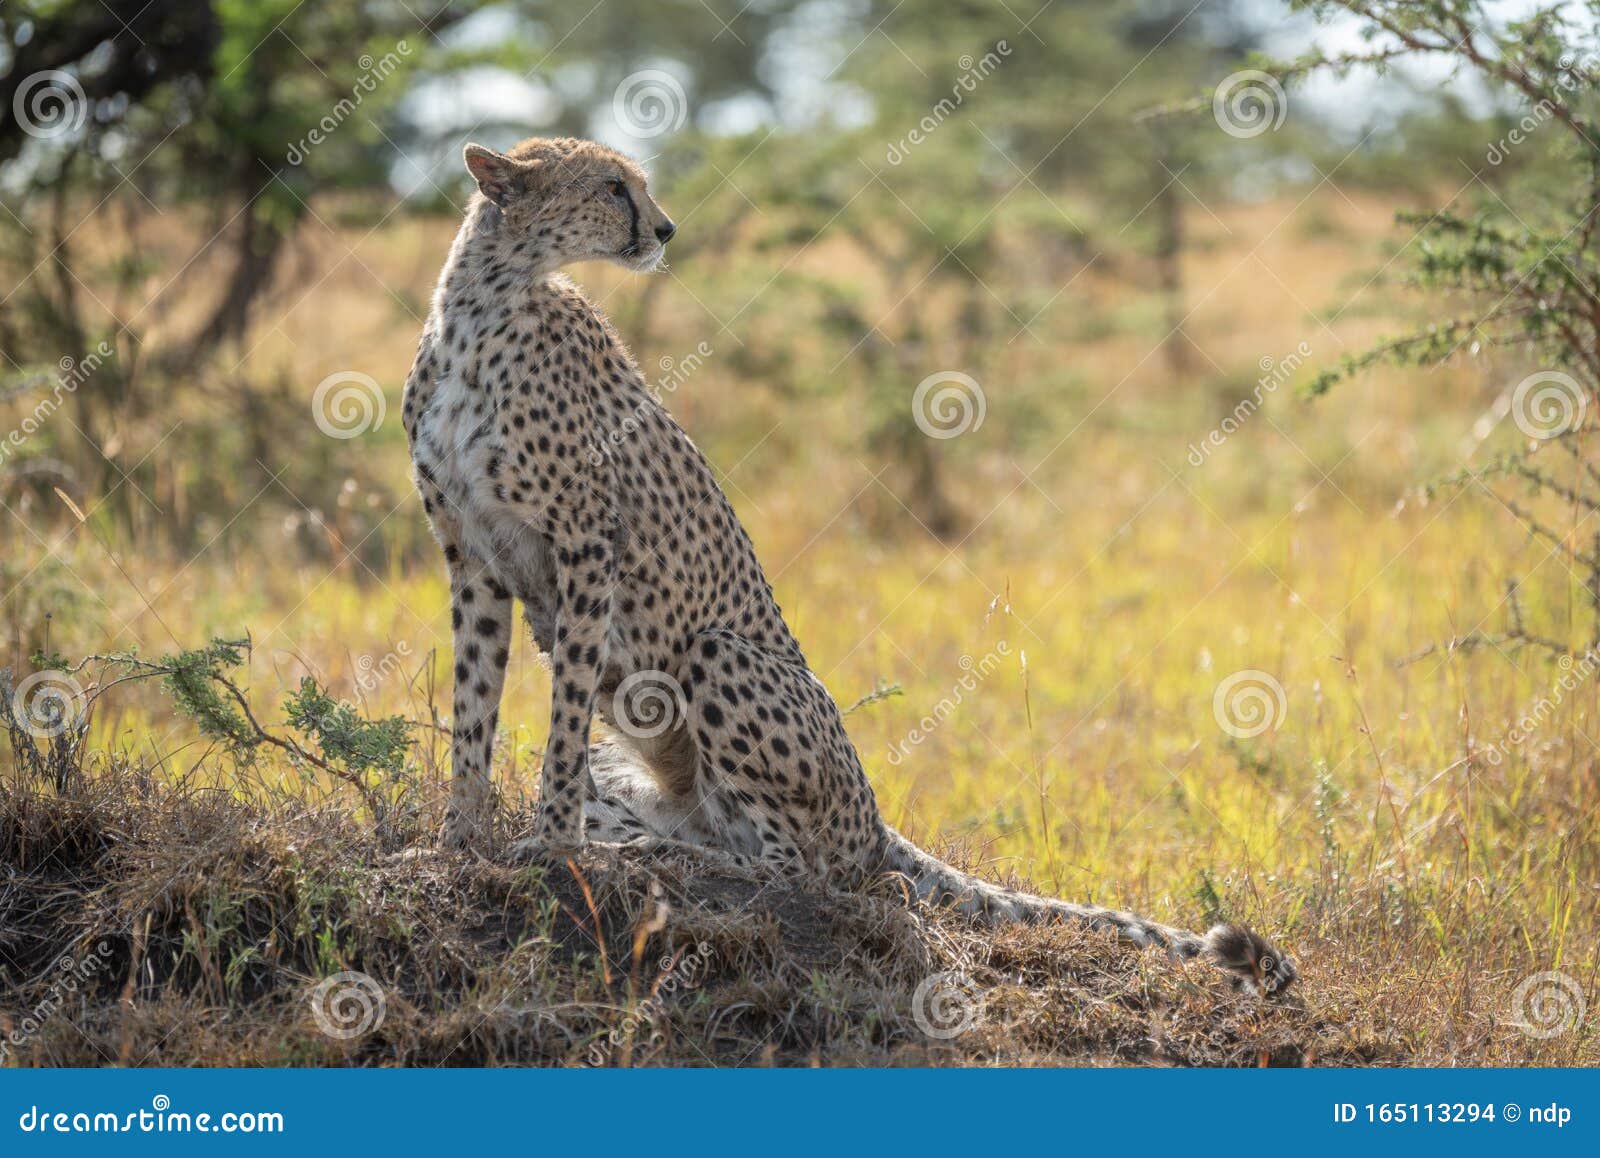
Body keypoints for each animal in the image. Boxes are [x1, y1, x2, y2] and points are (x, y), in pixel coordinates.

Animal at [400, 135, 1297, 997]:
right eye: (612, 186)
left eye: (636, 184)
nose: (665, 229)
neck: (483, 305)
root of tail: (873, 820)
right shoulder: (471, 554)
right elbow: (474, 713)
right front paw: (457, 844)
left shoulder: (589, 543)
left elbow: (559, 725)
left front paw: (551, 846)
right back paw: (647, 846)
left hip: (721, 658)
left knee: (794, 871)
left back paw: (668, 860)